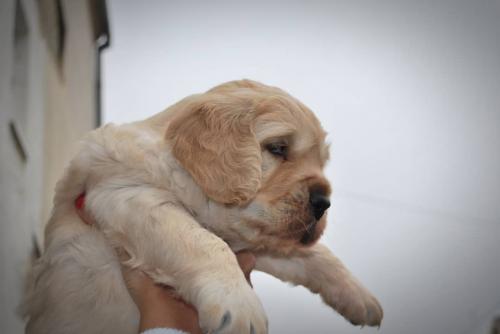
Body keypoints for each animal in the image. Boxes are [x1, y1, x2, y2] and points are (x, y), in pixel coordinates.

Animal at [22, 79, 382, 332]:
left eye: (321, 163)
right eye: (278, 148)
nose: (324, 203)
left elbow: (315, 254)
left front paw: (360, 297)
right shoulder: (125, 195)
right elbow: (201, 241)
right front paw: (239, 305)